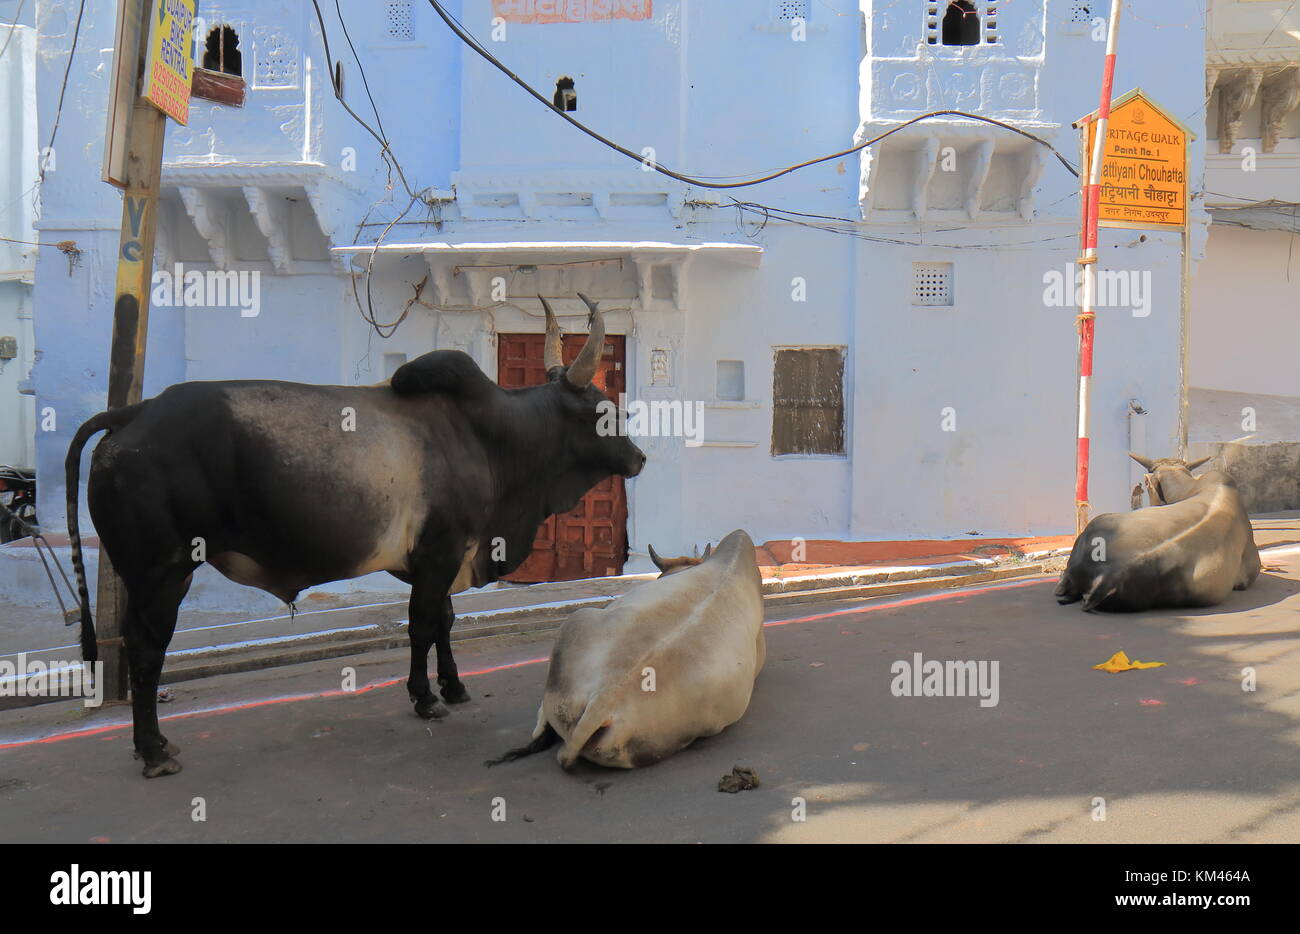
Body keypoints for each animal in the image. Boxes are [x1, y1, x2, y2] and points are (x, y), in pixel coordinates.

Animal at [65, 294, 645, 778]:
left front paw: (454, 687)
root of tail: (135, 411)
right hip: (162, 572)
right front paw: (424, 698)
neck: (491, 437)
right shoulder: (440, 553)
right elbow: (421, 626)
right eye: (601, 410)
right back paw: (154, 751)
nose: (638, 457)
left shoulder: (442, 558)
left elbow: (444, 622)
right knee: (146, 651)